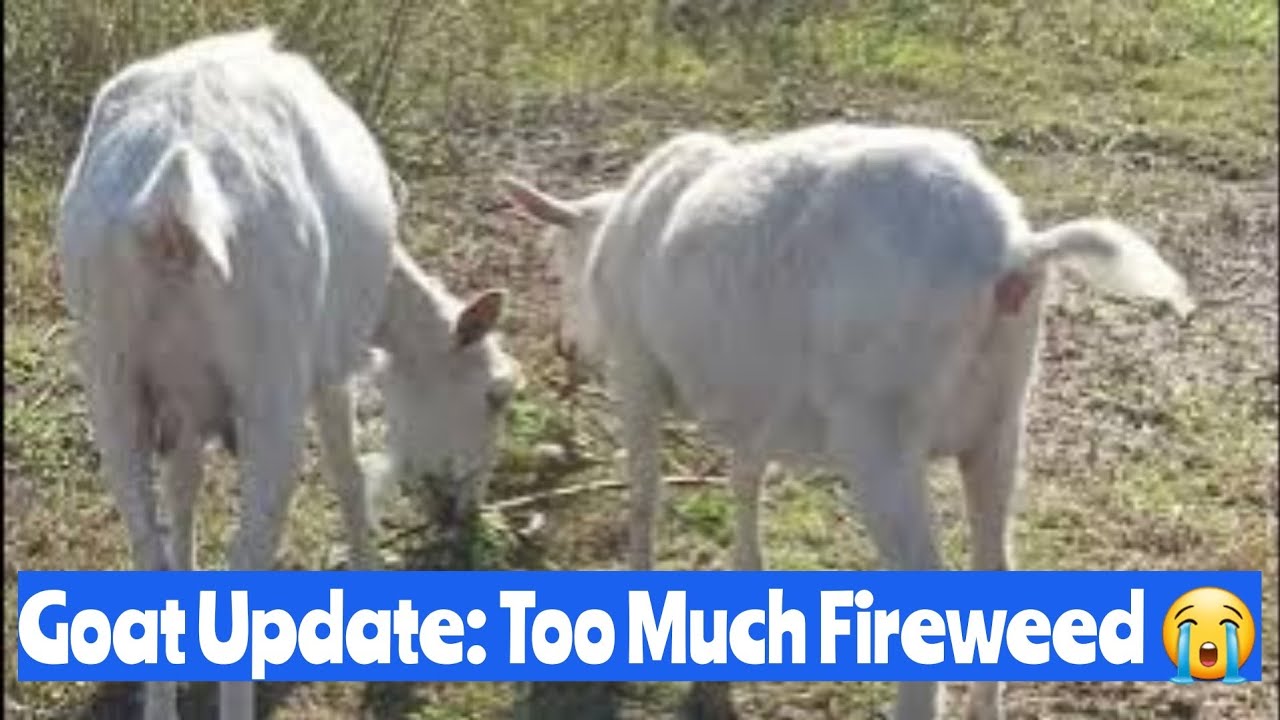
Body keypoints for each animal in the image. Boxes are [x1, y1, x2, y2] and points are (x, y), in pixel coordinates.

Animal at [56, 29, 520, 720]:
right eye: (496, 396)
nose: (463, 513)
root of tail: (176, 192)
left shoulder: (184, 405)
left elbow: (183, 495)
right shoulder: (331, 364)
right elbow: (349, 475)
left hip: (110, 378)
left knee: (146, 548)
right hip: (273, 379)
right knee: (245, 561)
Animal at [500, 121, 1192, 720]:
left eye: (561, 267)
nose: (565, 347)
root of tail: (1013, 252)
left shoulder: (637, 371)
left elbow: (645, 493)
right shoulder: (753, 403)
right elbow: (744, 479)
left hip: (879, 427)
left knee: (926, 580)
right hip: (1000, 418)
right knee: (993, 566)